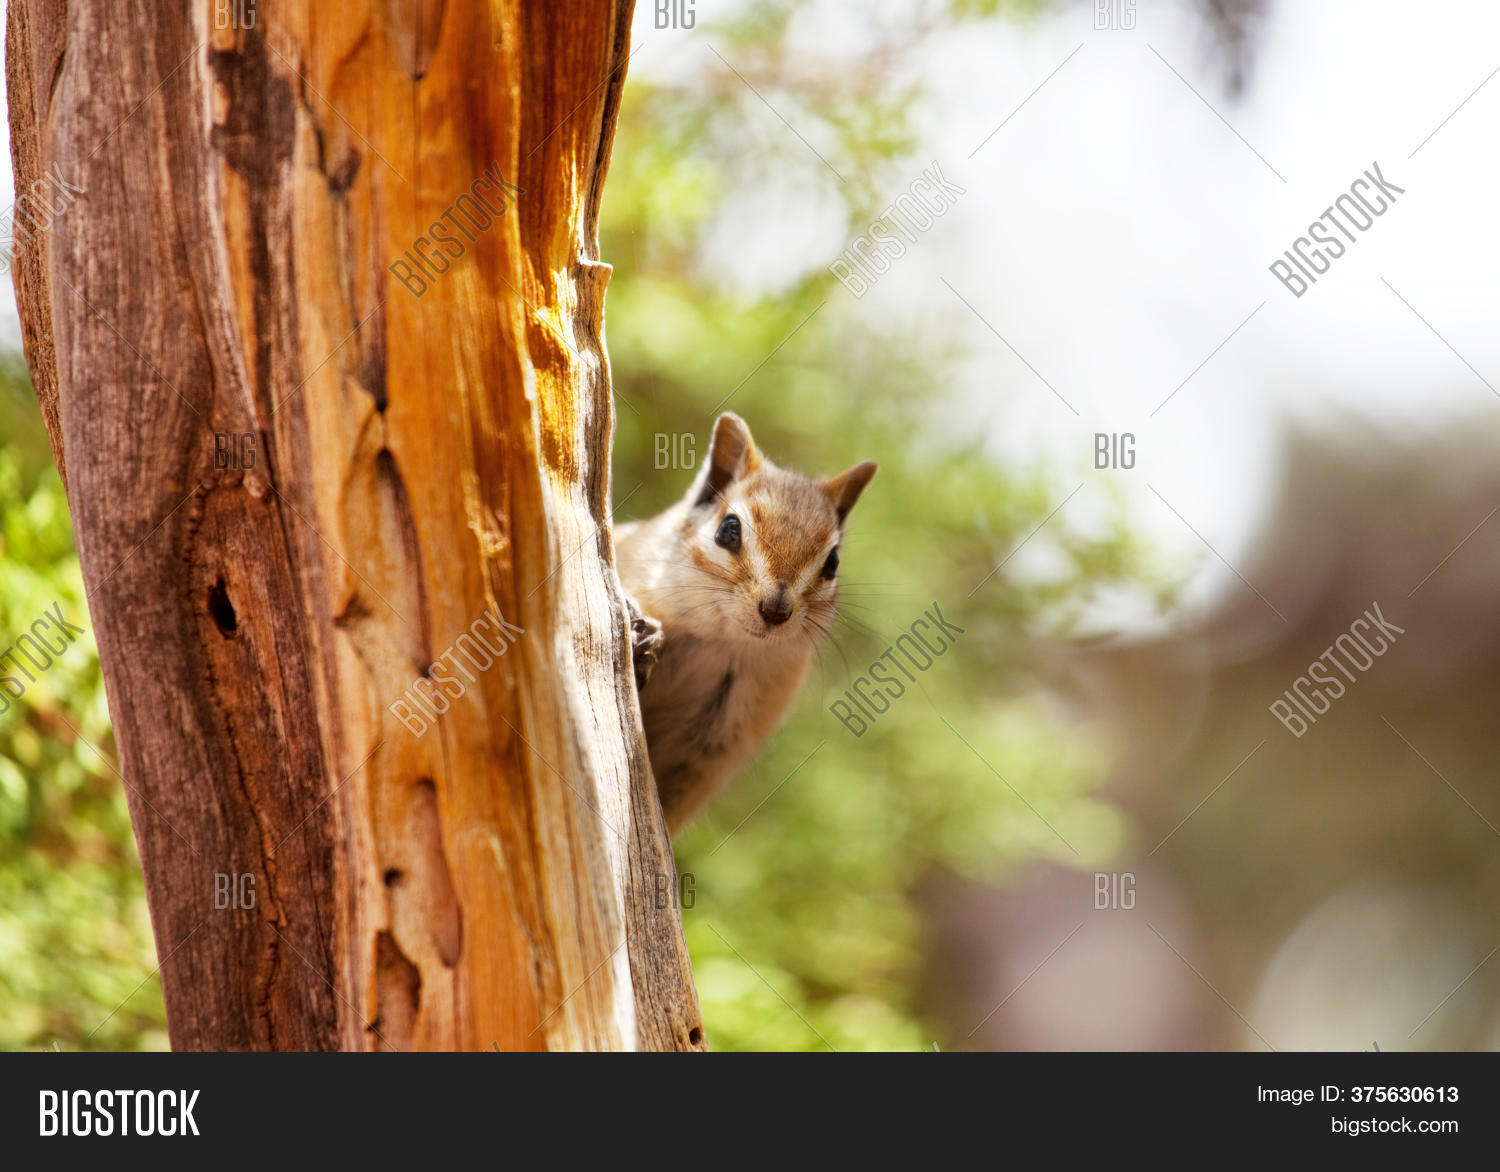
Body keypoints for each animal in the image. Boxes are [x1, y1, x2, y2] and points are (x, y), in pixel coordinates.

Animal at [616, 413, 876, 835]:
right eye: (729, 529)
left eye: (833, 561)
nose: (775, 610)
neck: (723, 642)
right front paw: (643, 640)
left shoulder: (711, 750)